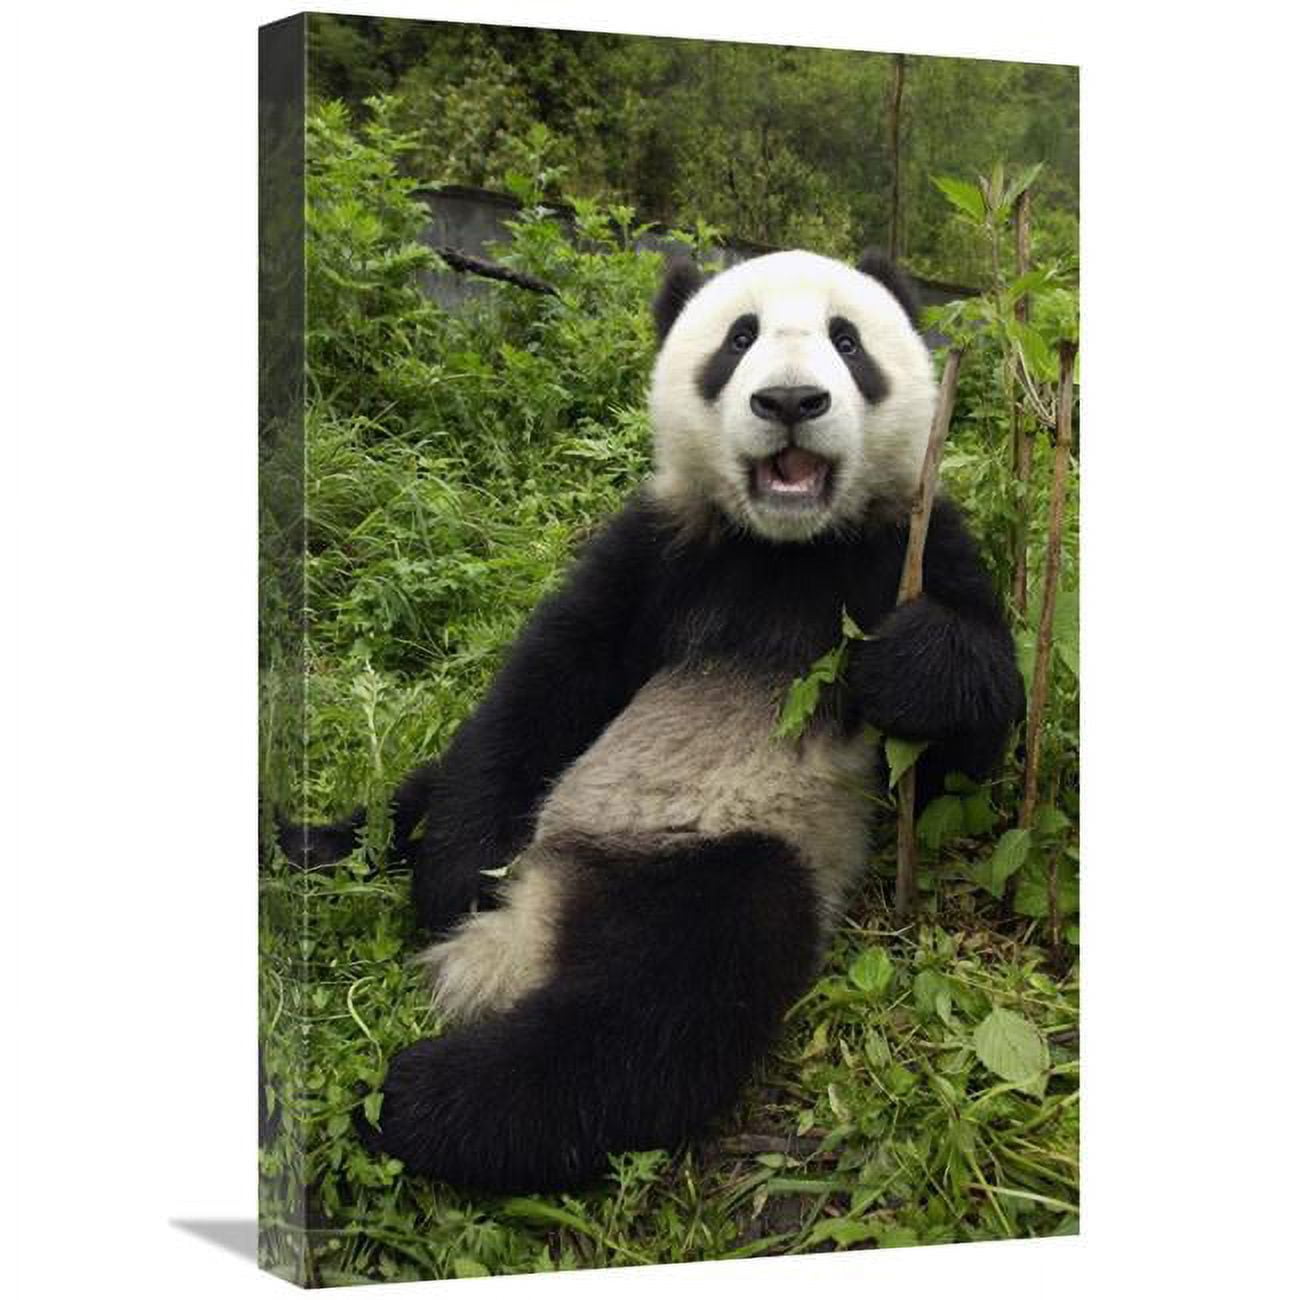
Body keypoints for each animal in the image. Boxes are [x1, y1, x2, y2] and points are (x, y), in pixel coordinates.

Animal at [289, 248, 1024, 1194]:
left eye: (847, 341)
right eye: (739, 338)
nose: (791, 401)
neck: (785, 547)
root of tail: (529, 925)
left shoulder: (914, 546)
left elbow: (962, 761)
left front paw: (907, 666)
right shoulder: (659, 549)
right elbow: (546, 682)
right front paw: (452, 877)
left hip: (729, 862)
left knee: (654, 1017)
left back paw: (416, 1099)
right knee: (426, 788)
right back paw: (309, 847)